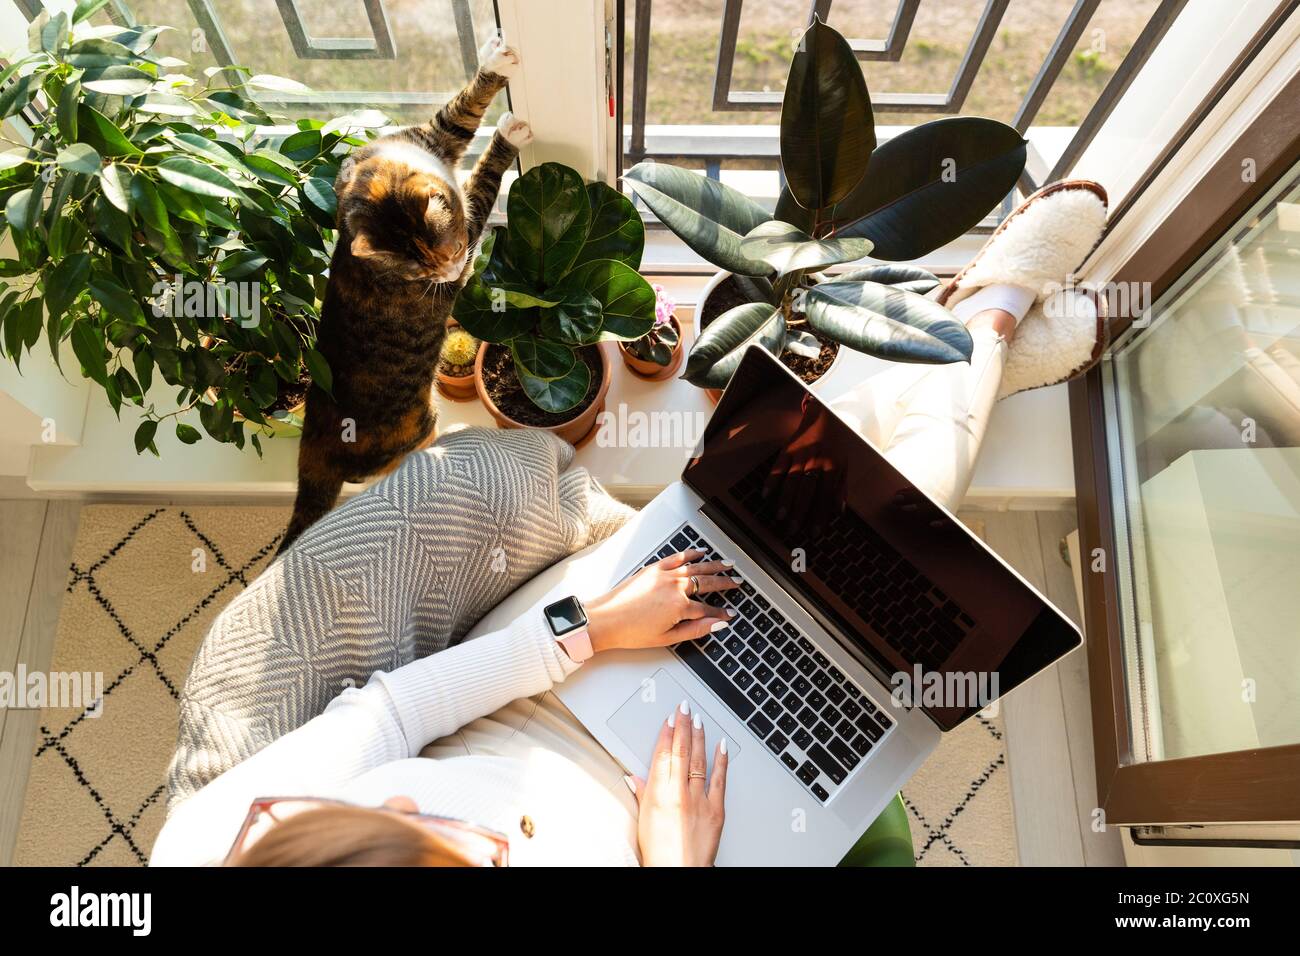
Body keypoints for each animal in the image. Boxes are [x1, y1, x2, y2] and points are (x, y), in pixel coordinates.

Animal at [279, 37, 533, 556]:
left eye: (447, 251)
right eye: (423, 269)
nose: (453, 269)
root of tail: (313, 451)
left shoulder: (434, 136)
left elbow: (461, 109)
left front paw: (495, 63)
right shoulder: (469, 229)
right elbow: (481, 182)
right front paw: (508, 135)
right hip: (416, 422)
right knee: (393, 465)